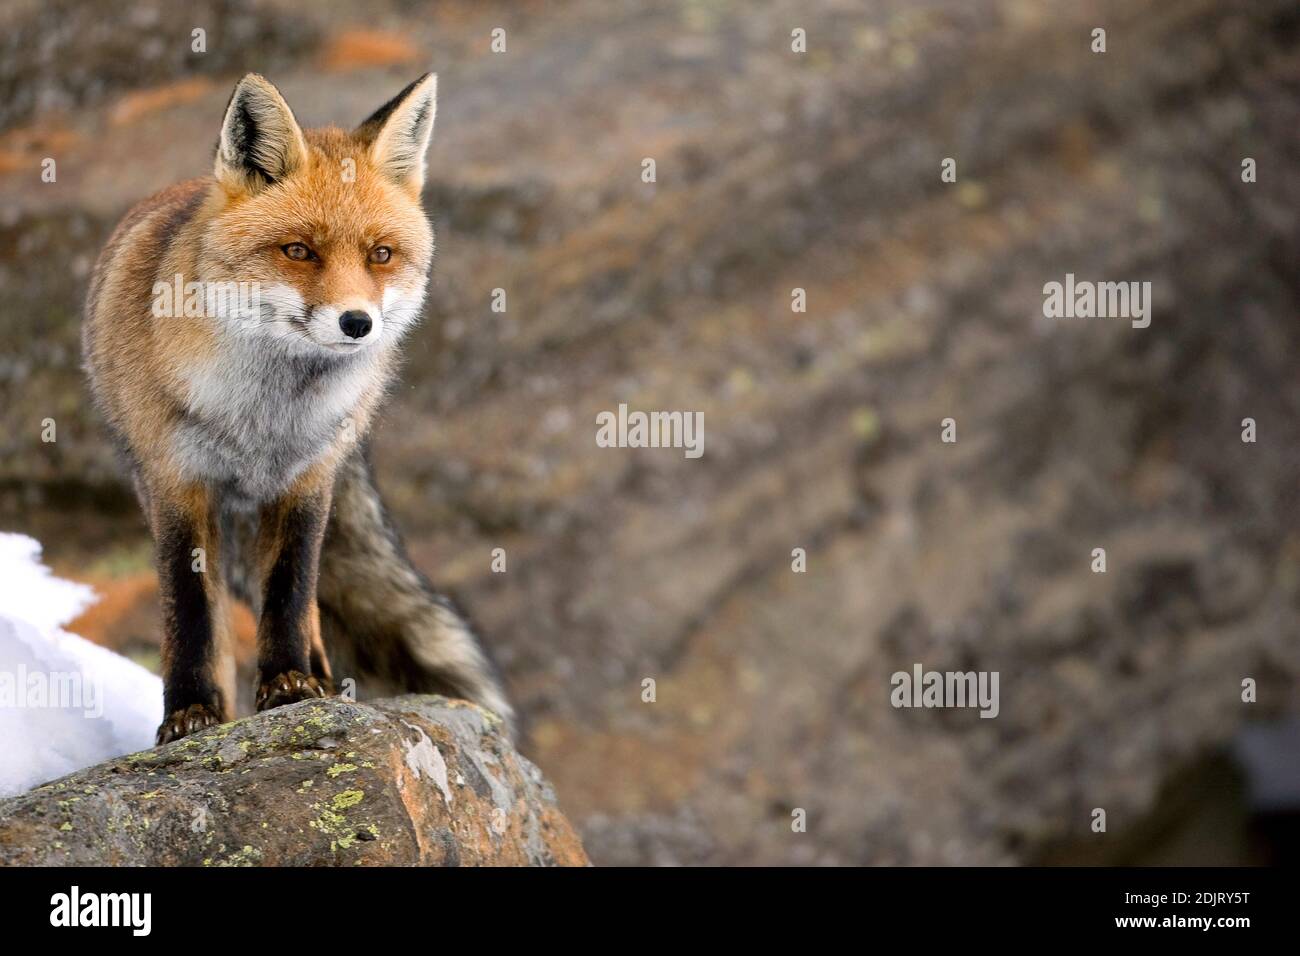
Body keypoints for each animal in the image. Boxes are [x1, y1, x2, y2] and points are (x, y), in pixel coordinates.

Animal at [82, 72, 513, 744]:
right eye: (299, 250)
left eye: (381, 255)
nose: (357, 322)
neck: (263, 417)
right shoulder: (178, 483)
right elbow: (189, 611)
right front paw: (190, 713)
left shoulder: (308, 479)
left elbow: (289, 592)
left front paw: (289, 685)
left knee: (307, 601)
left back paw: (319, 677)